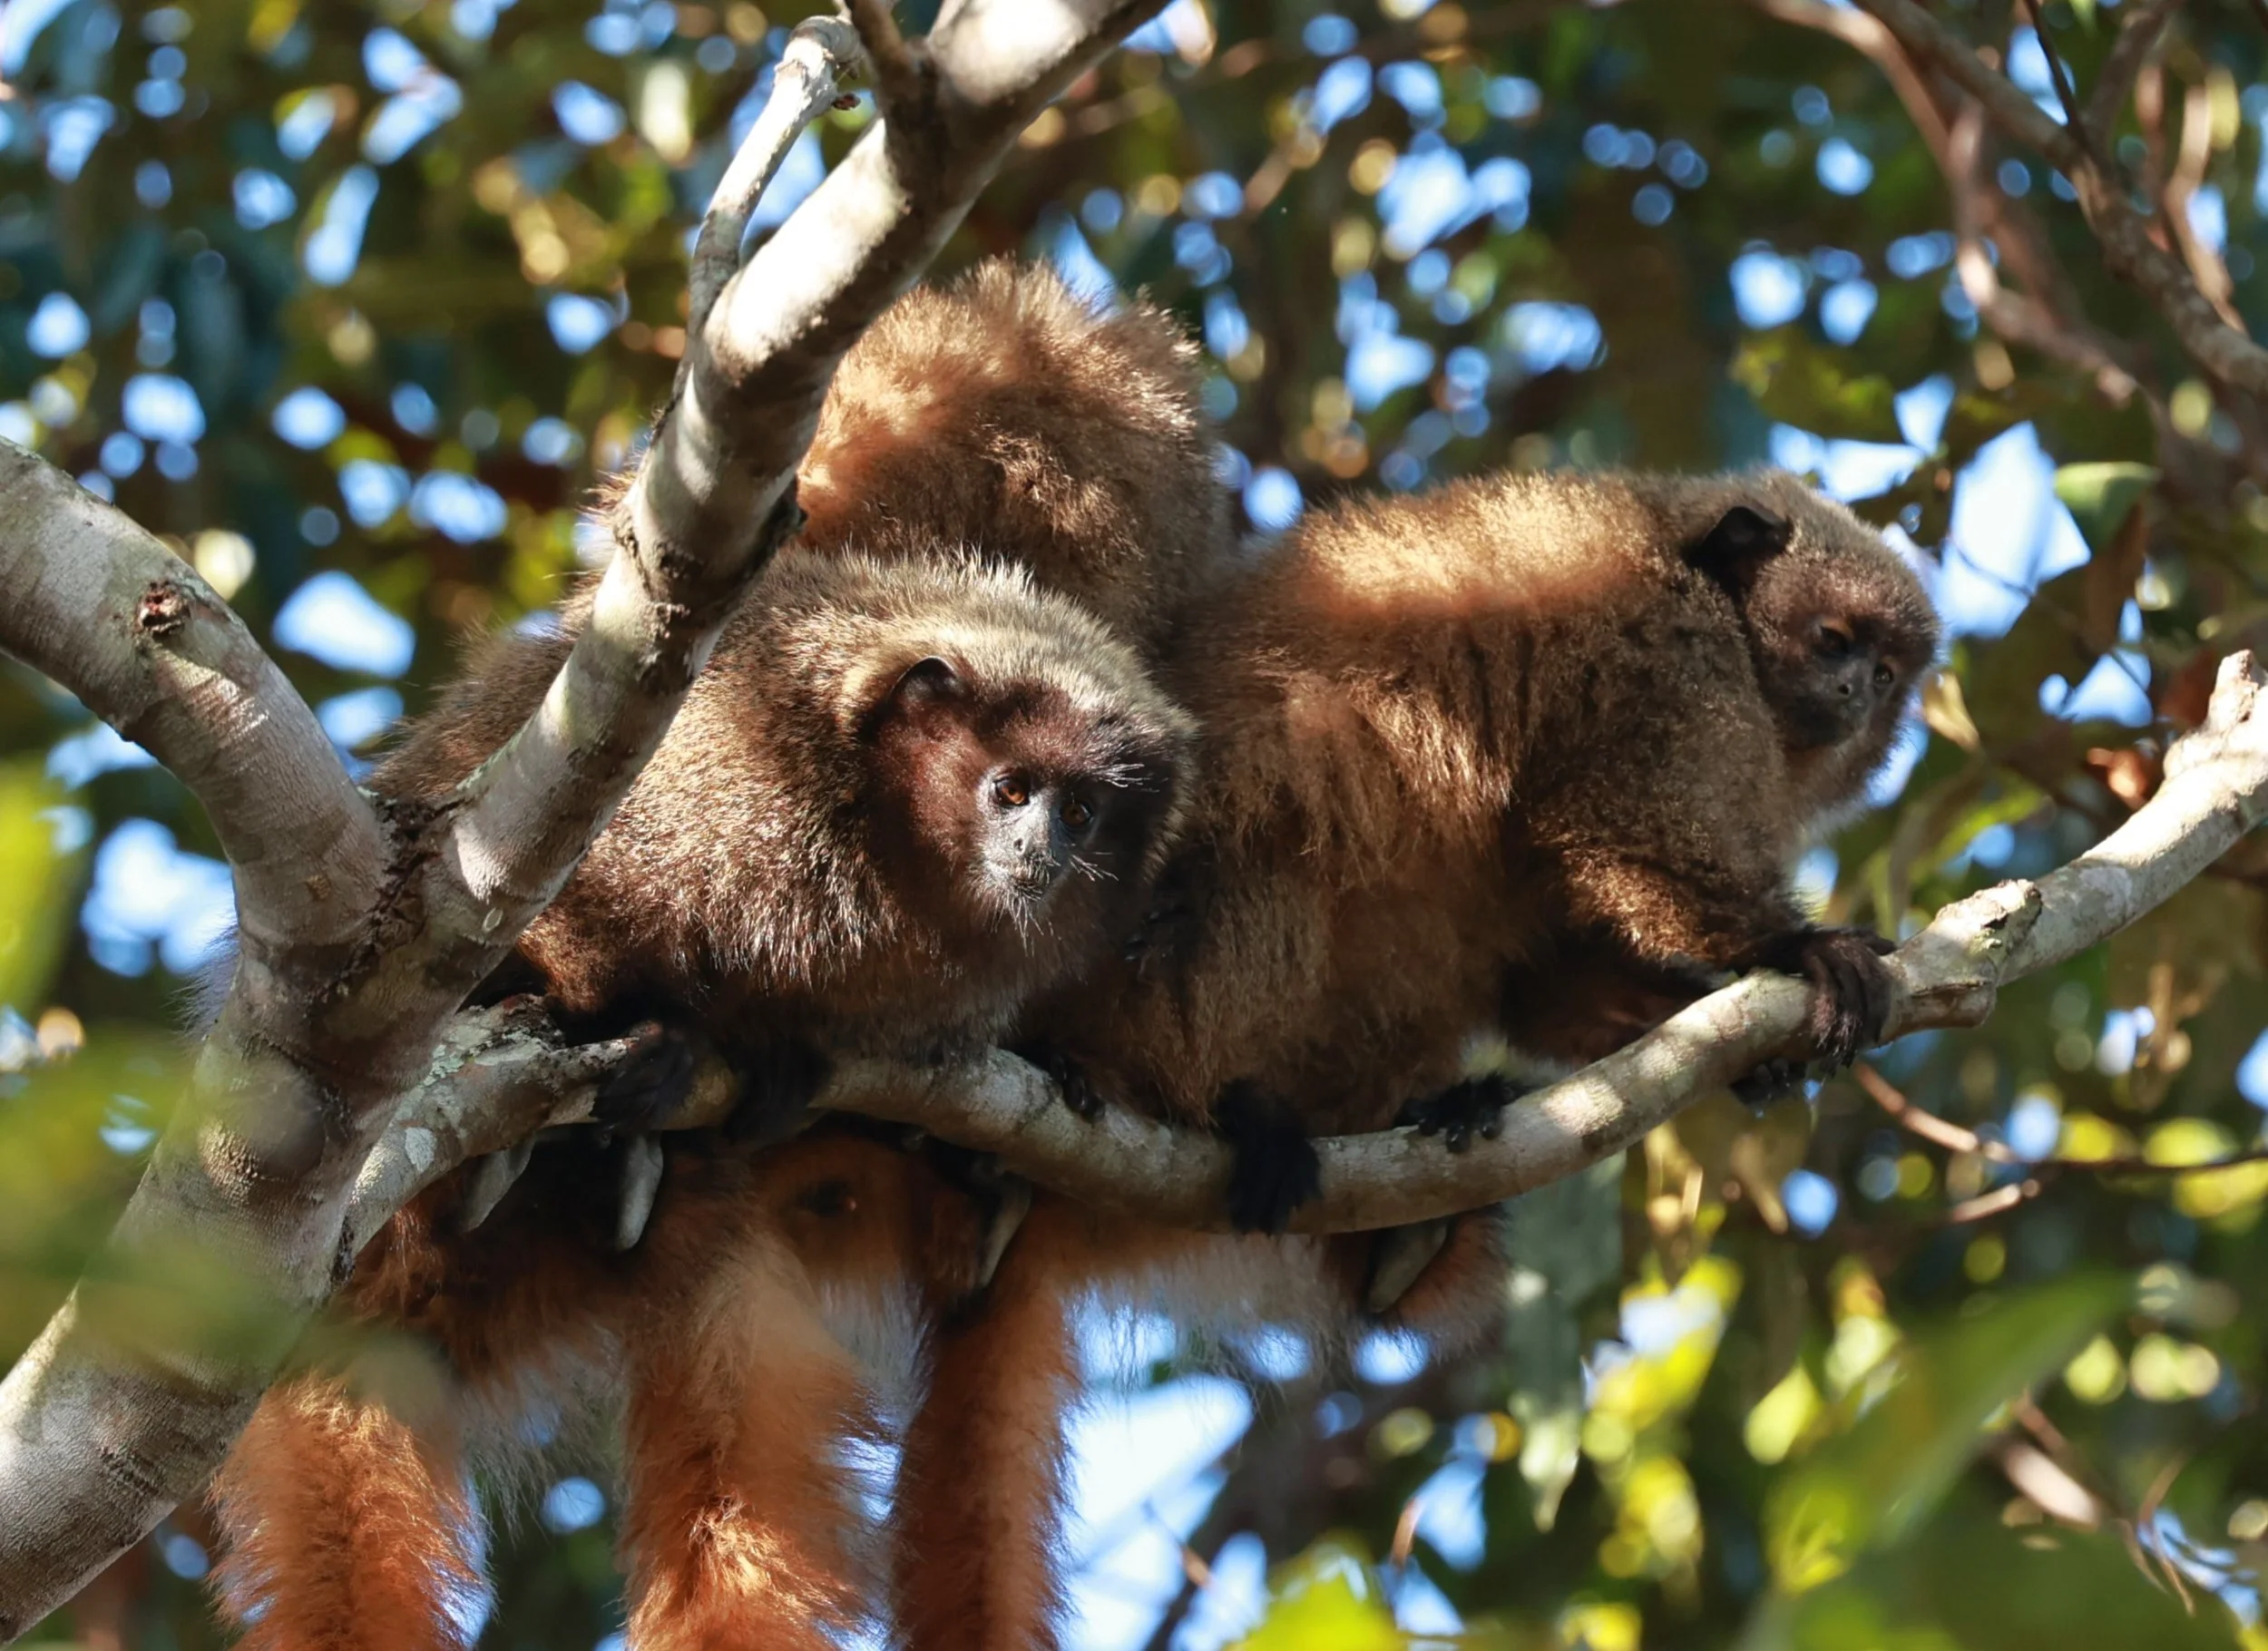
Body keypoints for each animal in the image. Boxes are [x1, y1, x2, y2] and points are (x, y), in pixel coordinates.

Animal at [887, 466, 1940, 1651]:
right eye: (1834, 638)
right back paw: (1221, 1107)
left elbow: (1549, 976)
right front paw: (1796, 949)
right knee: (1276, 839)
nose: (1855, 690)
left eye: (1886, 671)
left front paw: (1740, 1042)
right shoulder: (1665, 655)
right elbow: (1639, 836)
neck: (1697, 572)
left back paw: (1408, 1209)